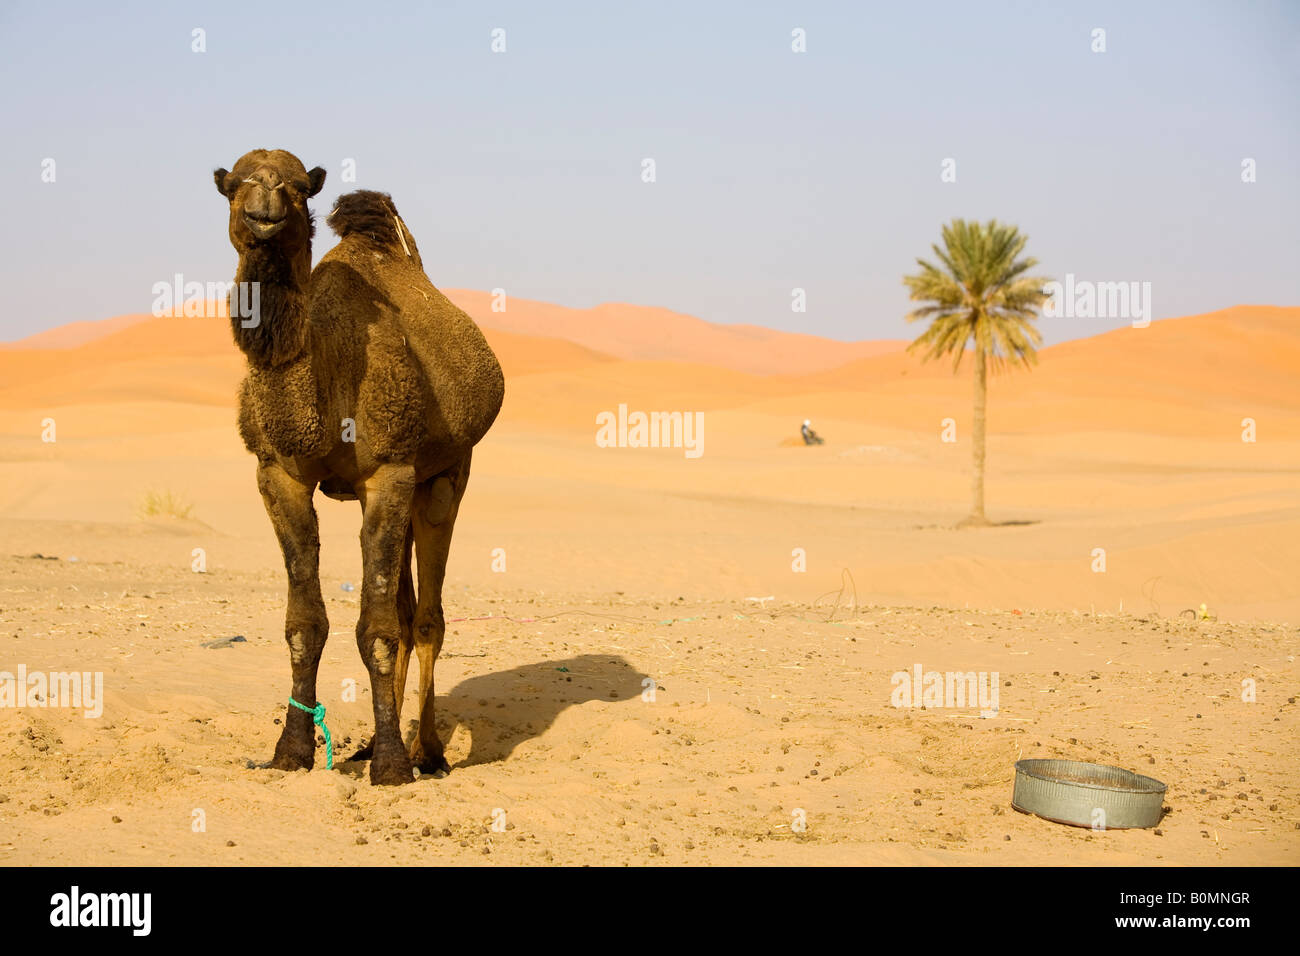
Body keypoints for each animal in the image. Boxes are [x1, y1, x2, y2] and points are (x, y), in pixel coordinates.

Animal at [212, 148, 504, 785]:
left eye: (299, 188)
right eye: (232, 186)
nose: (264, 208)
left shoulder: (389, 472)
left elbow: (379, 629)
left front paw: (394, 765)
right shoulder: (277, 473)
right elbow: (304, 623)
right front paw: (290, 751)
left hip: (443, 476)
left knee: (426, 618)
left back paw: (427, 751)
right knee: (406, 607)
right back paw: (372, 742)